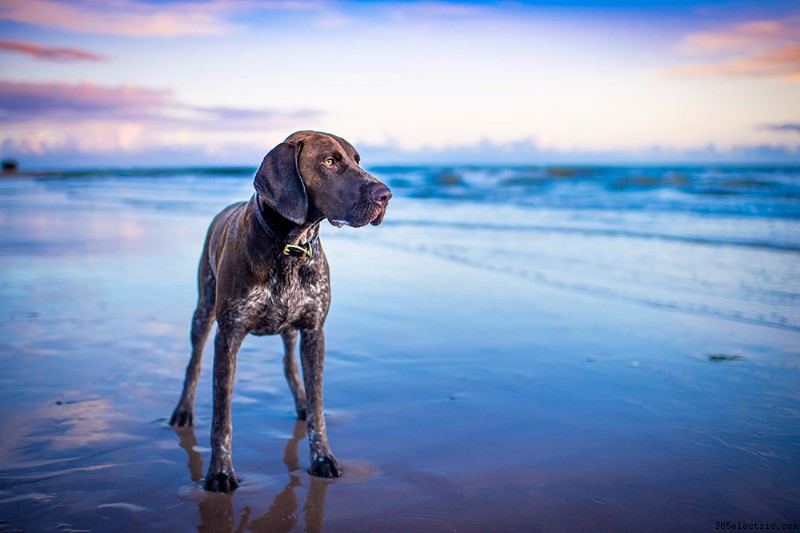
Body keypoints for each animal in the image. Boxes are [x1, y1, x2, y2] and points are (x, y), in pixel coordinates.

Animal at [170, 130, 392, 490]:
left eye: (357, 160)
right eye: (330, 161)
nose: (385, 195)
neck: (289, 246)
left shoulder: (314, 332)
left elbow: (317, 405)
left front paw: (322, 456)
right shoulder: (228, 337)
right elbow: (221, 417)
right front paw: (219, 472)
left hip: (290, 331)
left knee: (290, 367)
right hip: (203, 311)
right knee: (193, 364)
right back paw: (183, 411)